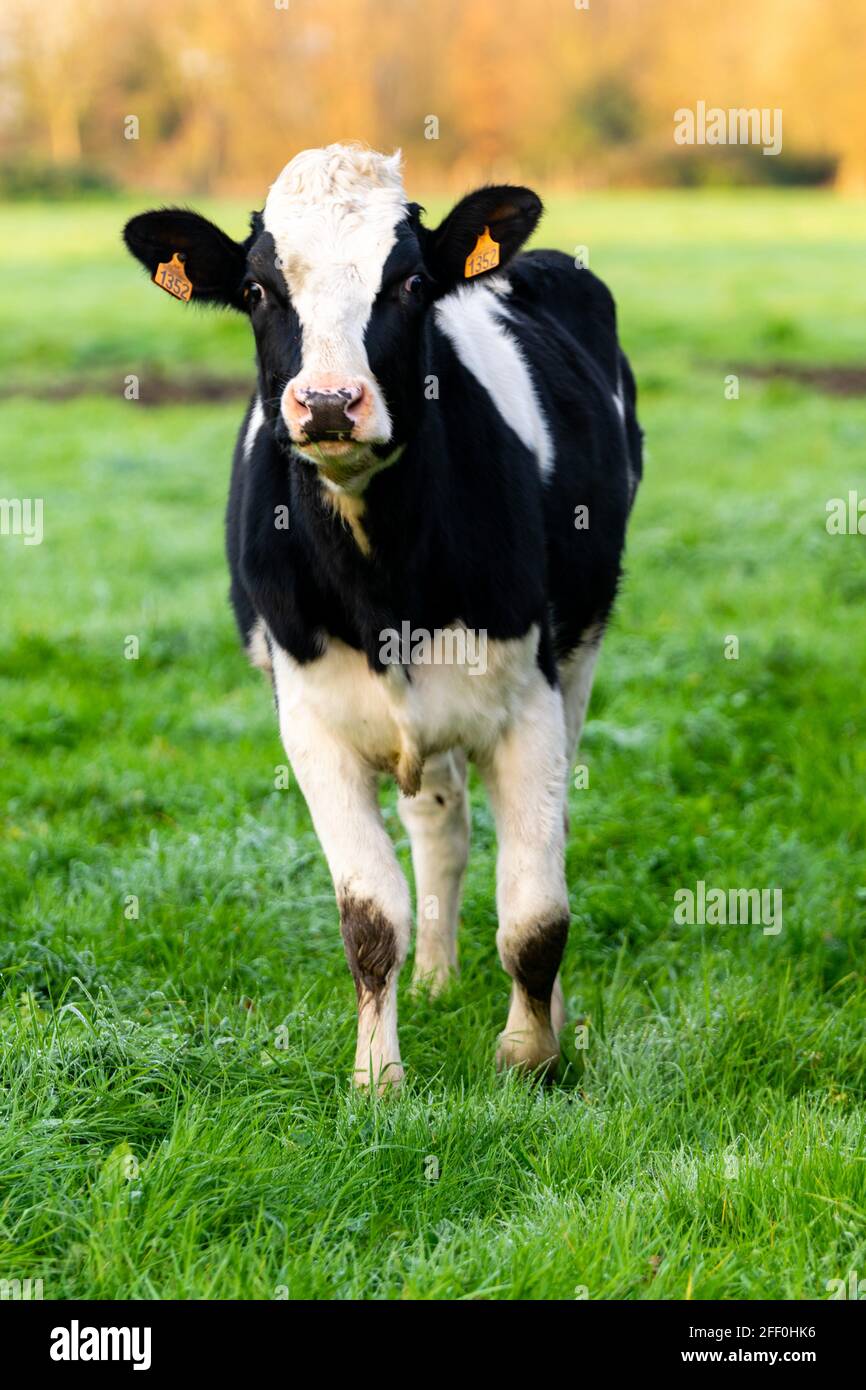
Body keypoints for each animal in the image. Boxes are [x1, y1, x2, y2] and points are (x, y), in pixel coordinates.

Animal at [123, 143, 642, 1091]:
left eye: (408, 283)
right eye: (257, 289)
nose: (329, 404)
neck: (380, 577)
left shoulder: (530, 702)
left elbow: (536, 910)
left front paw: (531, 1055)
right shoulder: (311, 723)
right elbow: (370, 916)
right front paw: (377, 1079)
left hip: (578, 655)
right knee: (440, 826)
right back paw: (436, 978)